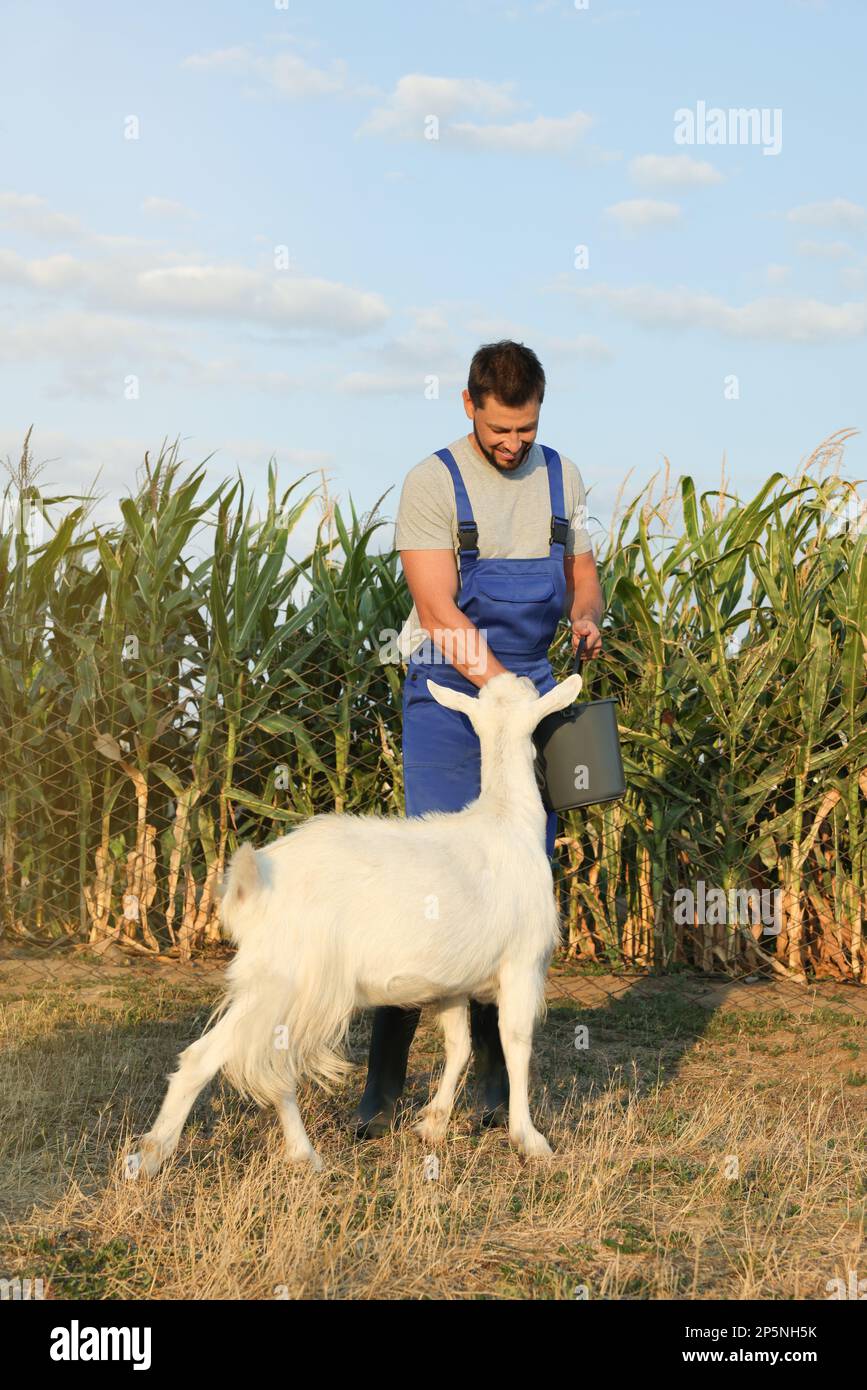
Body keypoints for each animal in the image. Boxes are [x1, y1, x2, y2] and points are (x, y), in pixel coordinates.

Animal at [125, 668, 581, 1177]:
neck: (506, 817)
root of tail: (254, 883)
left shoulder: (450, 980)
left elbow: (459, 1045)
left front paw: (433, 1125)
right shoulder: (523, 962)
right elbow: (516, 1043)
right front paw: (531, 1139)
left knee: (275, 1070)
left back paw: (303, 1155)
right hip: (287, 981)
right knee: (205, 1057)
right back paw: (149, 1158)